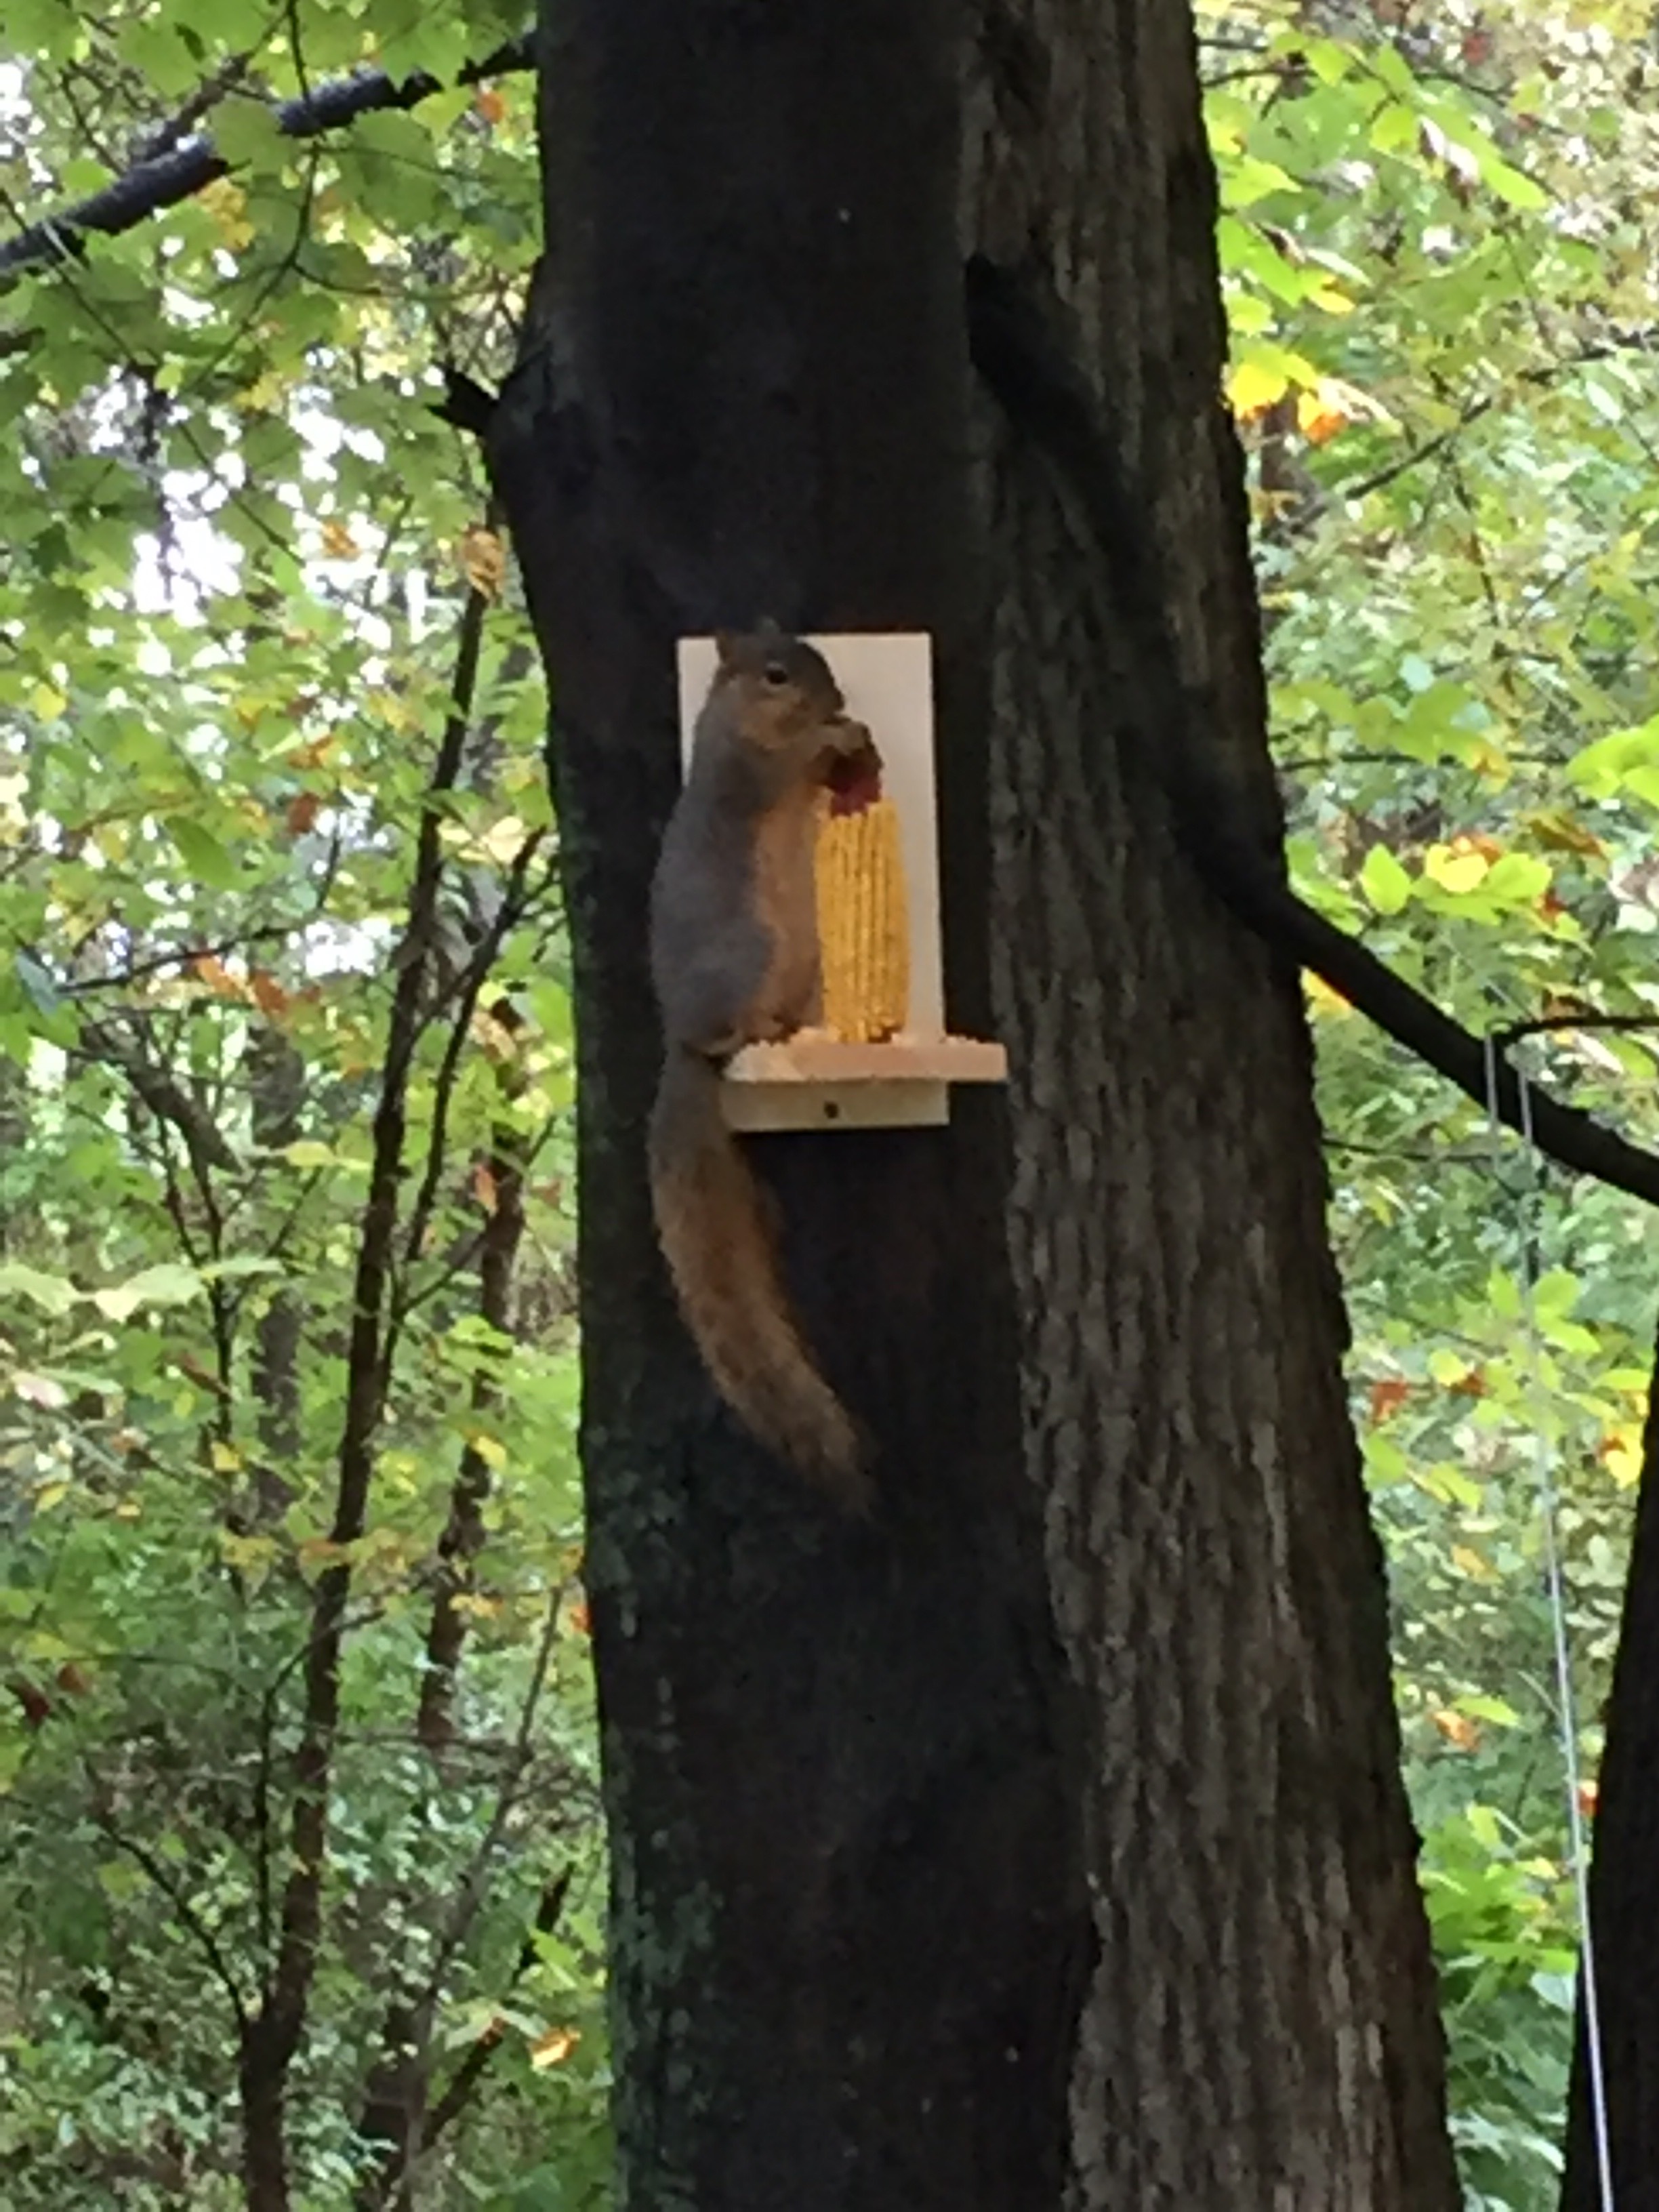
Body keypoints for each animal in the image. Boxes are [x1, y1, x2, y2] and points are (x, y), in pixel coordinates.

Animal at [648, 621, 881, 1506]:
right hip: (749, 950)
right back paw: (753, 1035)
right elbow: (789, 766)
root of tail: (679, 1042)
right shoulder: (746, 771)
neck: (739, 716)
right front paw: (834, 737)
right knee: (727, 1029)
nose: (838, 698)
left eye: (823, 655)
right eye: (778, 674)